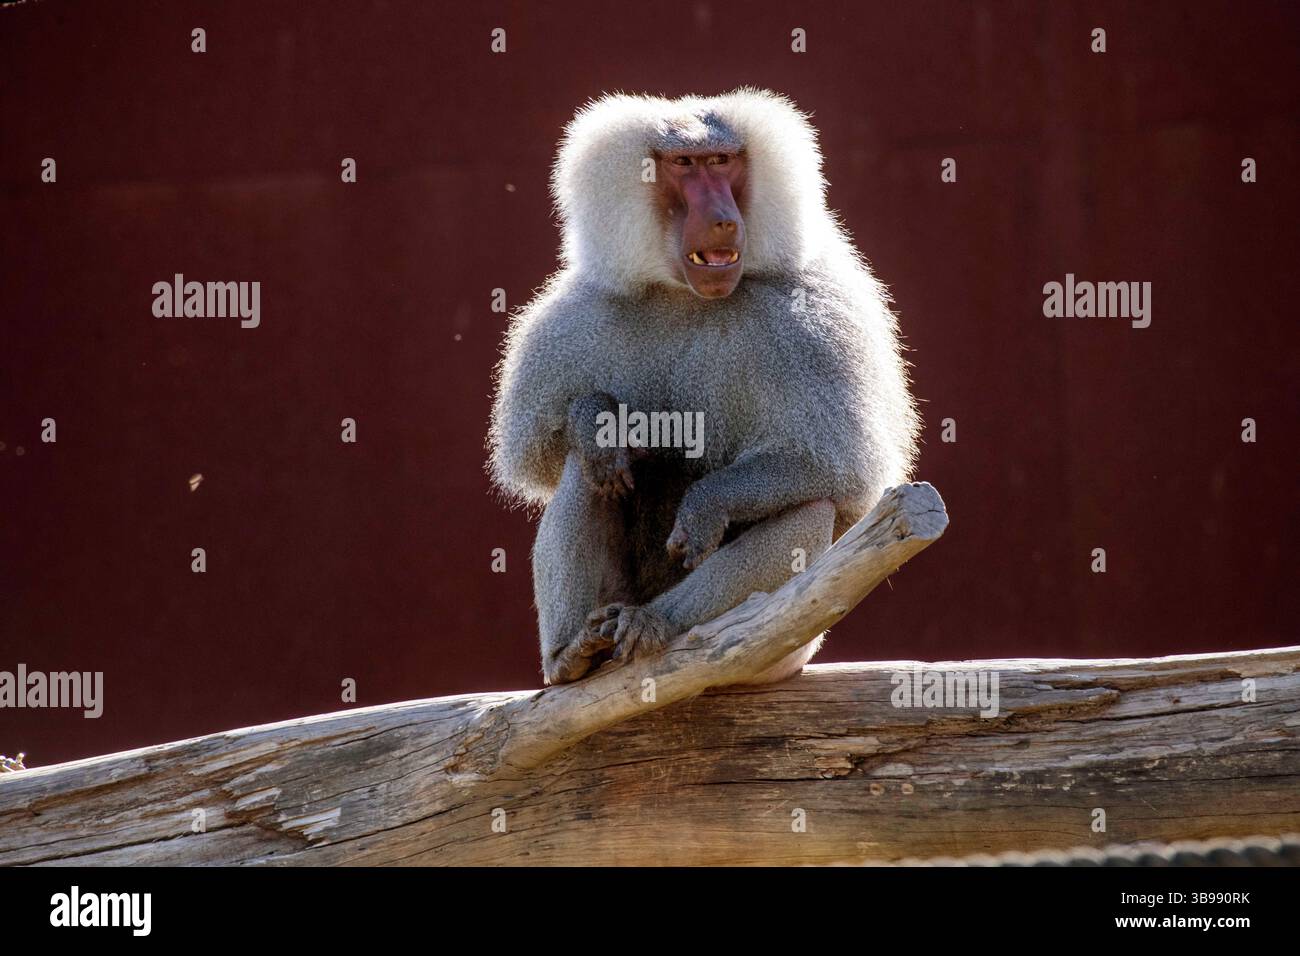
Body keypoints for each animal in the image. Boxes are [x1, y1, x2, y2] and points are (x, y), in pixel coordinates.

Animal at [488, 89, 918, 686]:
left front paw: (705, 506)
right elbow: (540, 457)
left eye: (722, 161)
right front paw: (595, 417)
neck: (688, 297)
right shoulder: (574, 318)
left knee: (811, 508)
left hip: (786, 643)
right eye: (684, 165)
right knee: (588, 468)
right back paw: (570, 656)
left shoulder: (817, 319)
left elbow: (842, 469)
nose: (720, 220)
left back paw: (657, 624)